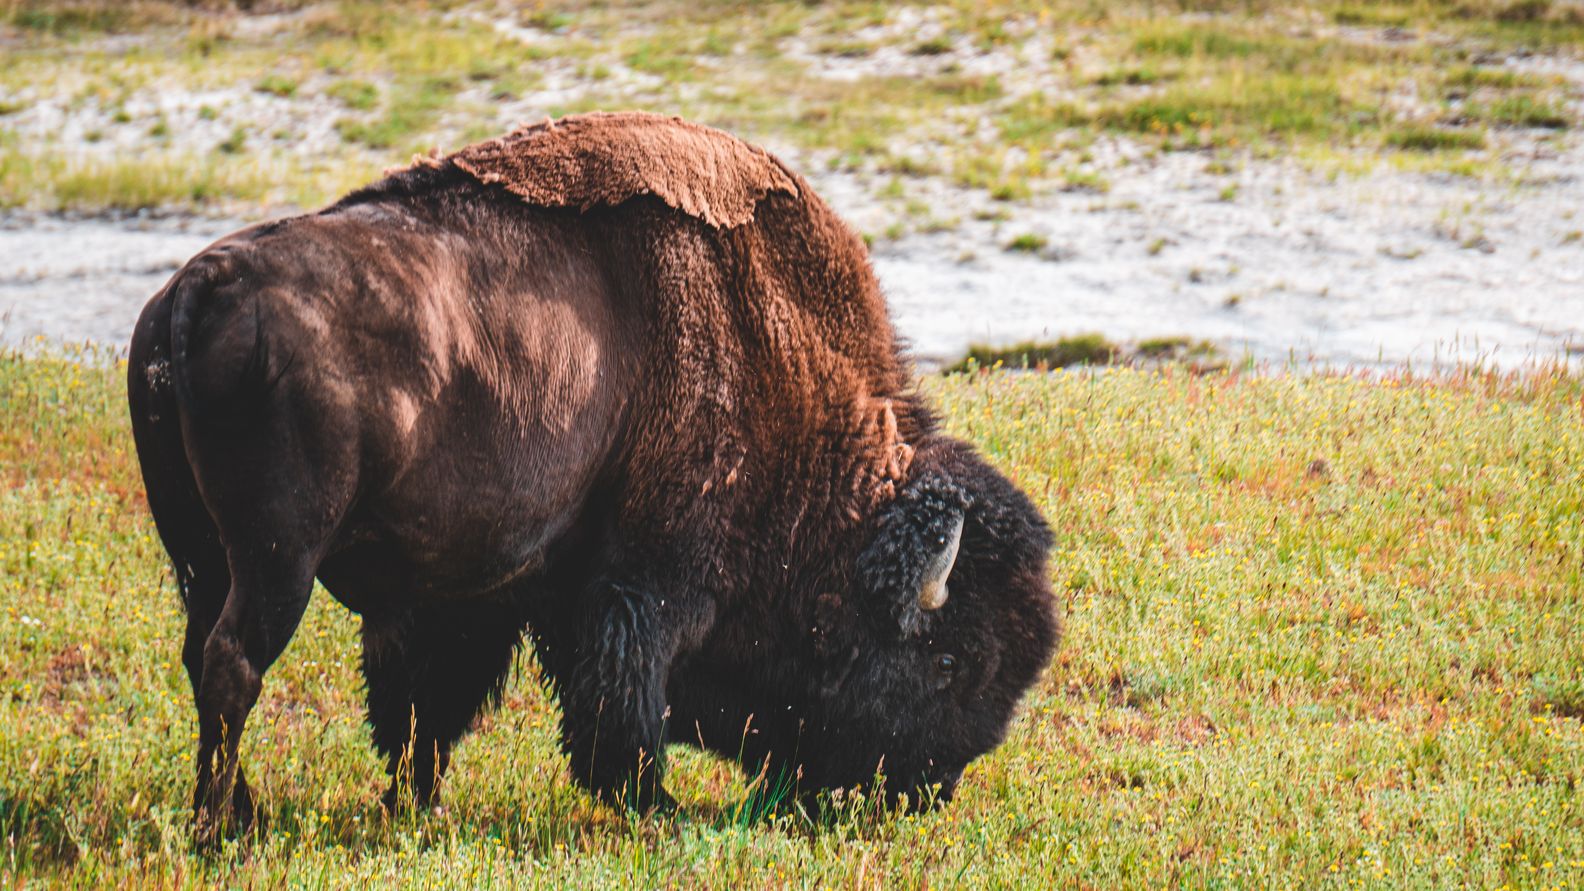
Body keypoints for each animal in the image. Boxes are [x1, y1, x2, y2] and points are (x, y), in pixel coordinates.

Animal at [126, 112, 1059, 840]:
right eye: (948, 659)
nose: (926, 789)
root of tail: (199, 288)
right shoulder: (648, 584)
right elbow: (620, 704)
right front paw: (660, 807)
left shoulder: (479, 590)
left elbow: (428, 701)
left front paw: (417, 804)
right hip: (277, 557)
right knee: (233, 662)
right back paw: (221, 829)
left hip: (200, 554)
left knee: (200, 656)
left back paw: (242, 810)